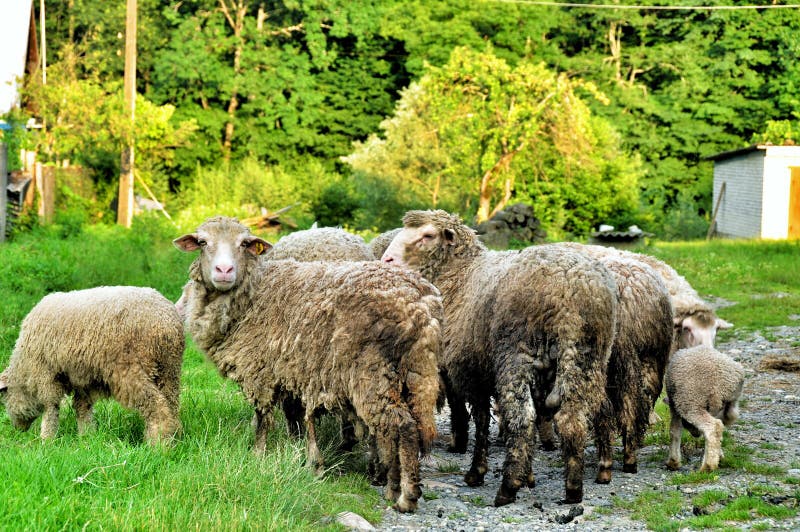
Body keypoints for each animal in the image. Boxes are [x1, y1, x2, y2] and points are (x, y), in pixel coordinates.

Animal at [0, 286, 184, 444]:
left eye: (4, 400)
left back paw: (158, 444)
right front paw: (87, 437)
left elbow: (51, 408)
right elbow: (83, 407)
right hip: (169, 368)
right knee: (171, 405)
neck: (23, 367)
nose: (18, 429)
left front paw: (46, 440)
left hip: (131, 369)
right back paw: (174, 436)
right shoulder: (83, 378)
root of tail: (165, 321)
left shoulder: (46, 372)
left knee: (156, 406)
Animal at [174, 216, 442, 513]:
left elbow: (262, 418)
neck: (254, 292)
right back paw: (391, 483)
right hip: (415, 373)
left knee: (401, 427)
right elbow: (296, 415)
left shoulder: (260, 371)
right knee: (403, 426)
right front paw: (306, 456)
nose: (224, 270)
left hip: (370, 373)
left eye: (244, 244)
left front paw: (258, 455)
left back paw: (405, 496)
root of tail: (418, 300)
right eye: (202, 242)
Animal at [381, 210, 617, 506]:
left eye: (427, 235)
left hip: (516, 353)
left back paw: (507, 487)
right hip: (587, 358)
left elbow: (481, 420)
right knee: (577, 416)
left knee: (522, 418)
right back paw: (577, 486)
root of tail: (569, 293)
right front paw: (529, 477)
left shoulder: (470, 370)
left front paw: (478, 472)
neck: (460, 276)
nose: (386, 260)